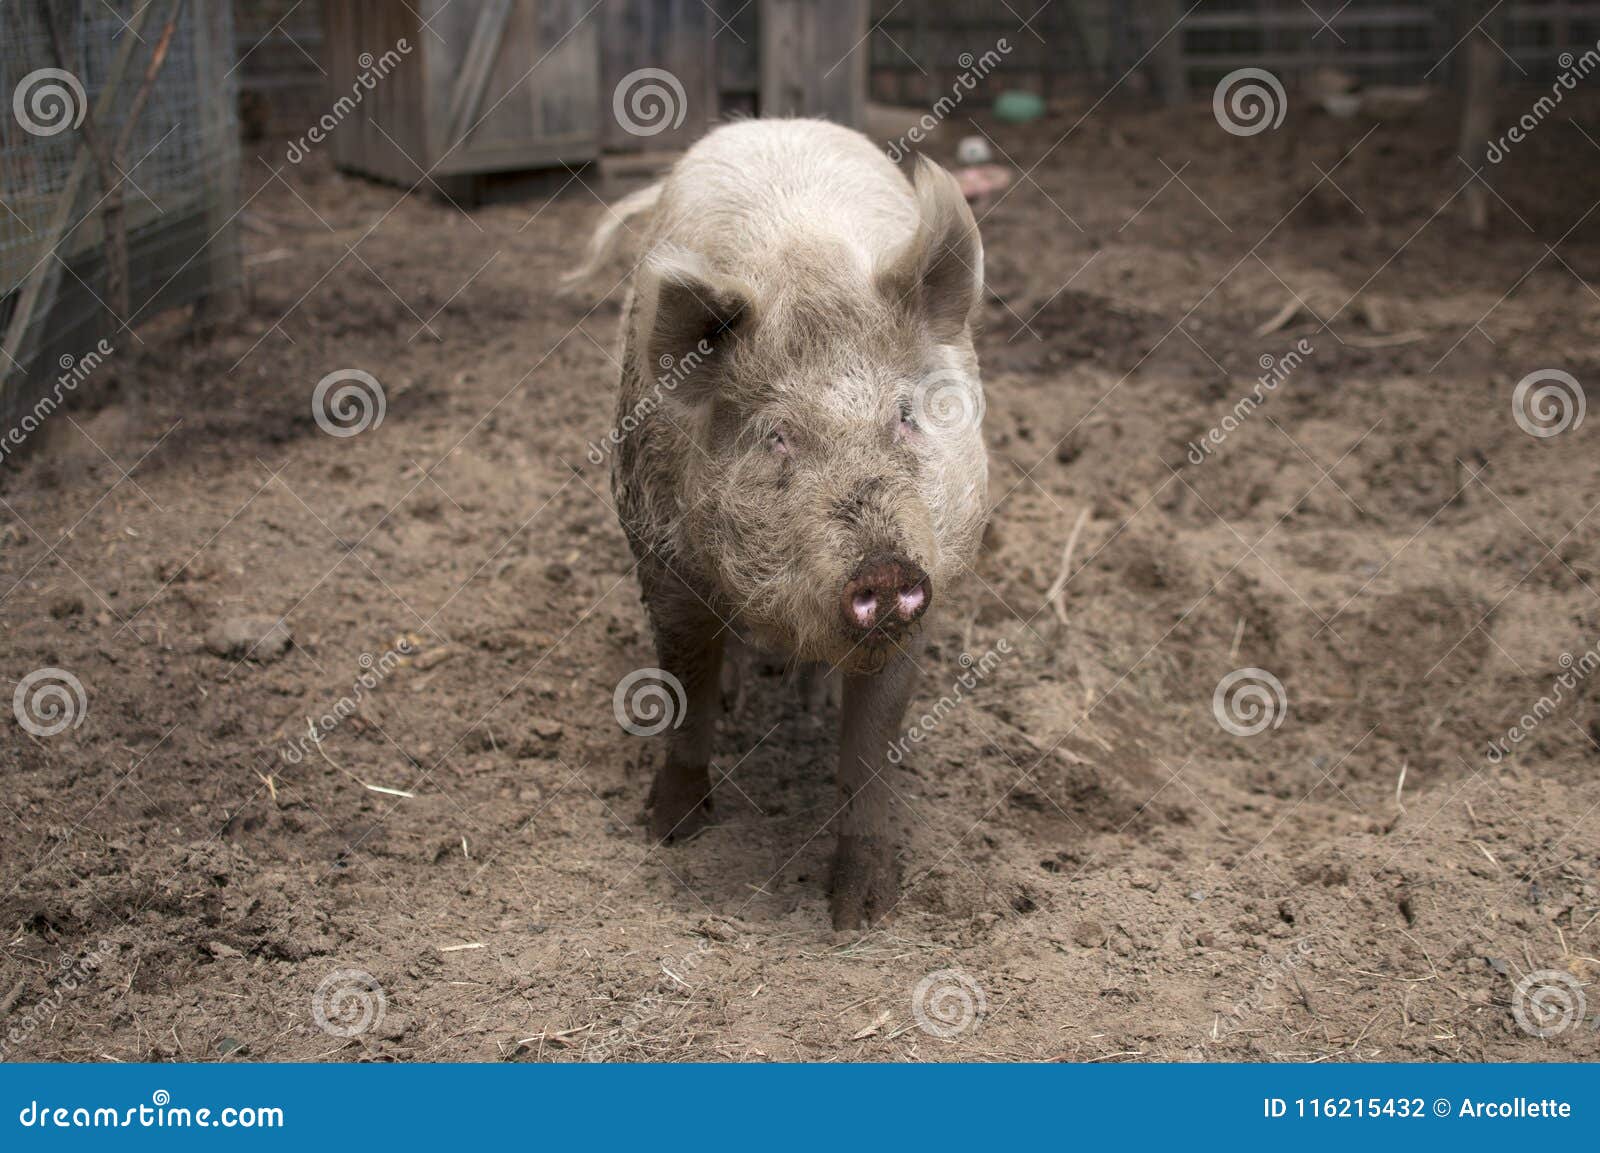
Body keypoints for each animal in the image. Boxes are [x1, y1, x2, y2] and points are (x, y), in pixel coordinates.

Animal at [573, 119, 988, 929]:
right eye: (777, 436)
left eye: (905, 414)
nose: (883, 567)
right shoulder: (661, 561)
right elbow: (686, 691)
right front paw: (669, 830)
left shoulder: (929, 589)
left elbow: (868, 753)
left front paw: (860, 913)